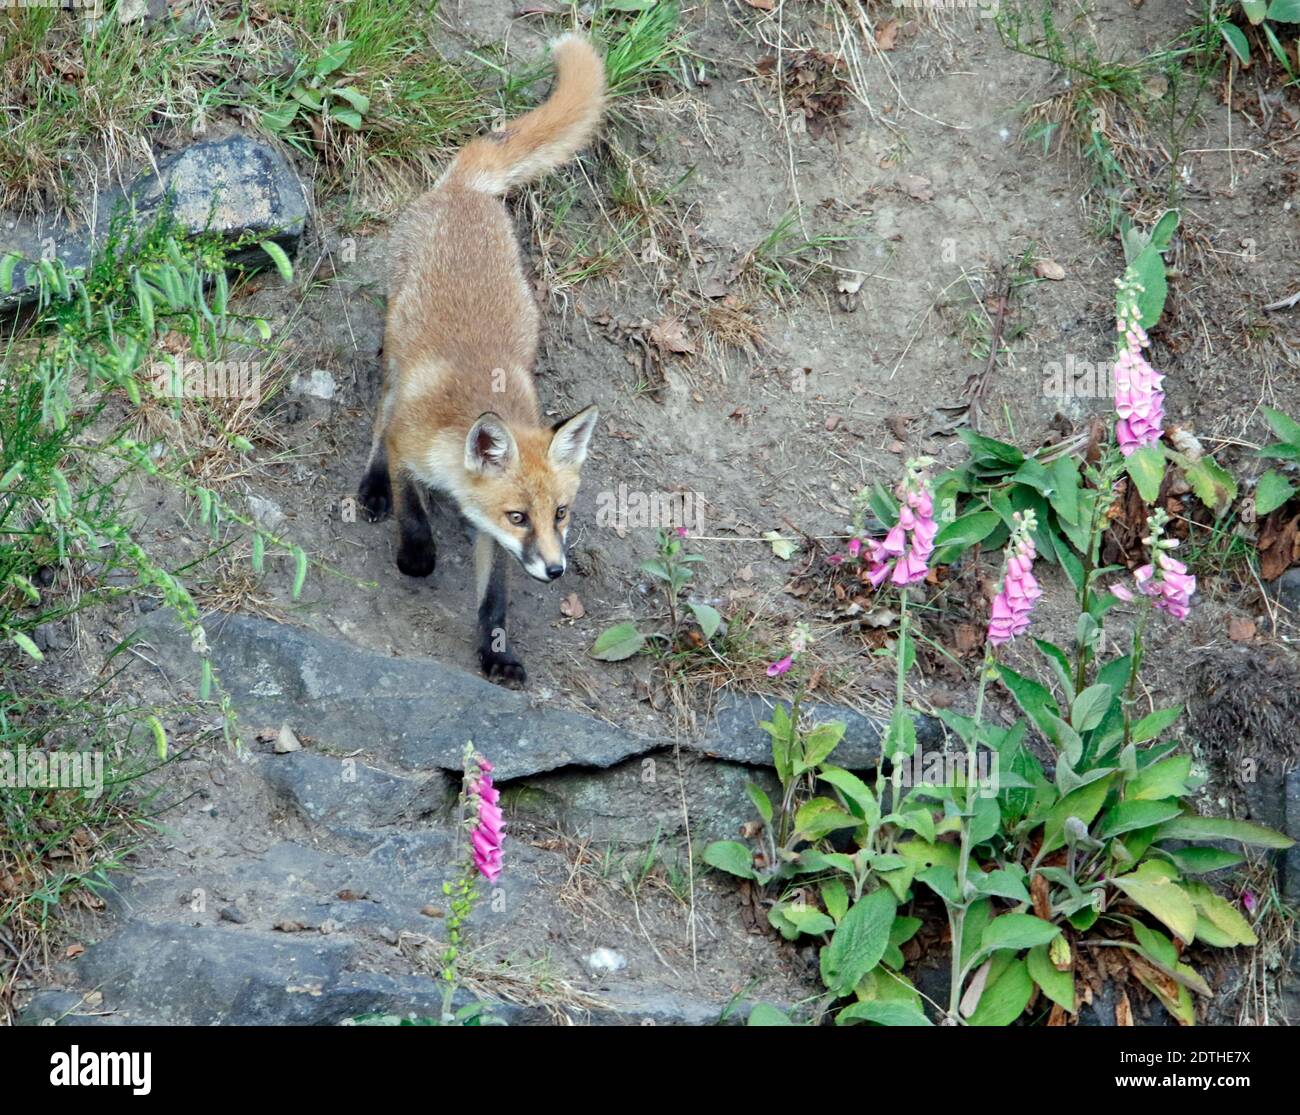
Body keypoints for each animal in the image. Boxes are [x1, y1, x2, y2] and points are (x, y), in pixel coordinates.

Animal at [357, 33, 605, 686]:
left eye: (560, 513)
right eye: (520, 516)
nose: (556, 571)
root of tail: (465, 190)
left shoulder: (486, 531)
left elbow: (495, 598)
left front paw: (496, 654)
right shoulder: (409, 443)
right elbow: (411, 507)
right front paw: (417, 554)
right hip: (394, 344)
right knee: (379, 412)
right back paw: (369, 488)